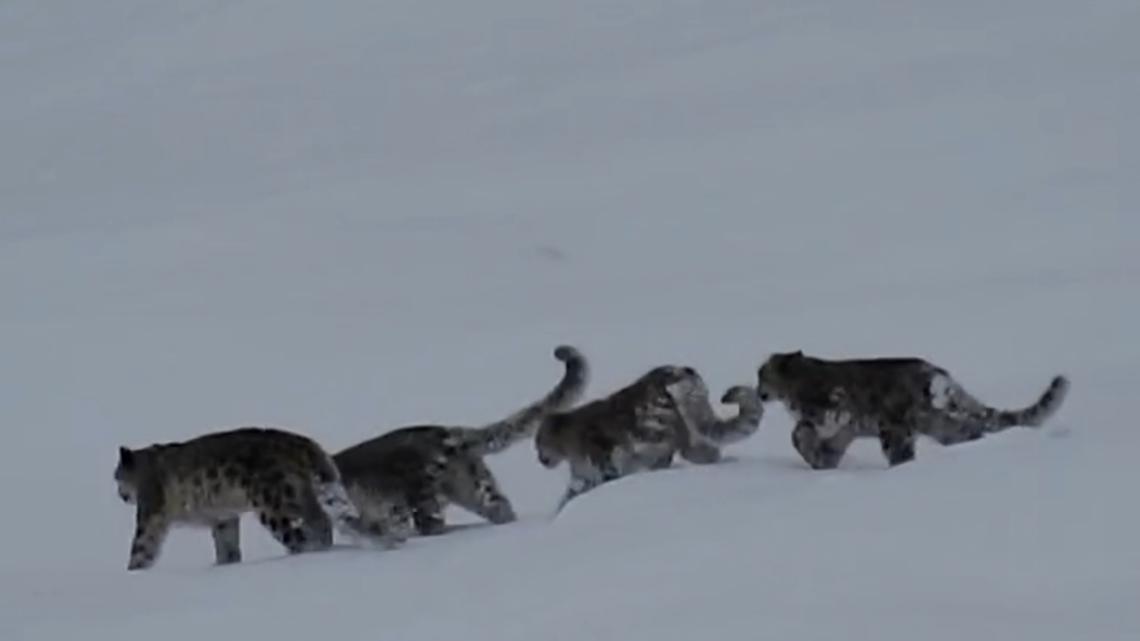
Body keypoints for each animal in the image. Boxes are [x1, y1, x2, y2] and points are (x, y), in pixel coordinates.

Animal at [755, 350, 1070, 469]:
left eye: (762, 375)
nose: (758, 392)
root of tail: (941, 376)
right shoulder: (841, 433)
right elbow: (826, 447)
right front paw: (823, 463)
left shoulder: (830, 412)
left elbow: (800, 430)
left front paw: (811, 451)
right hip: (935, 424)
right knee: (968, 430)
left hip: (897, 430)